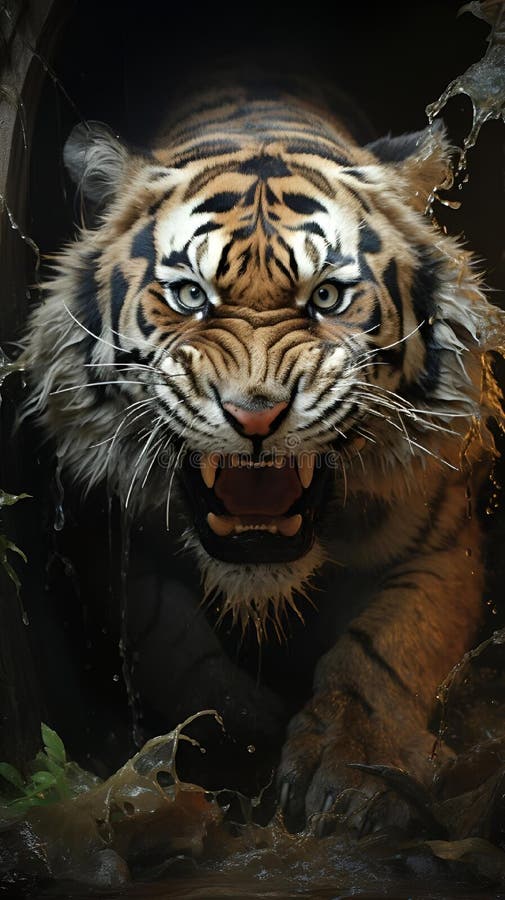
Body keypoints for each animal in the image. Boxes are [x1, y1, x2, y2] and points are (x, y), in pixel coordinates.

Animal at [21, 81, 505, 831]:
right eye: (190, 294)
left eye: (327, 296)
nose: (255, 414)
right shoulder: (113, 547)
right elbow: (173, 645)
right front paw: (235, 739)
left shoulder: (442, 544)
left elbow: (382, 649)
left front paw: (352, 764)